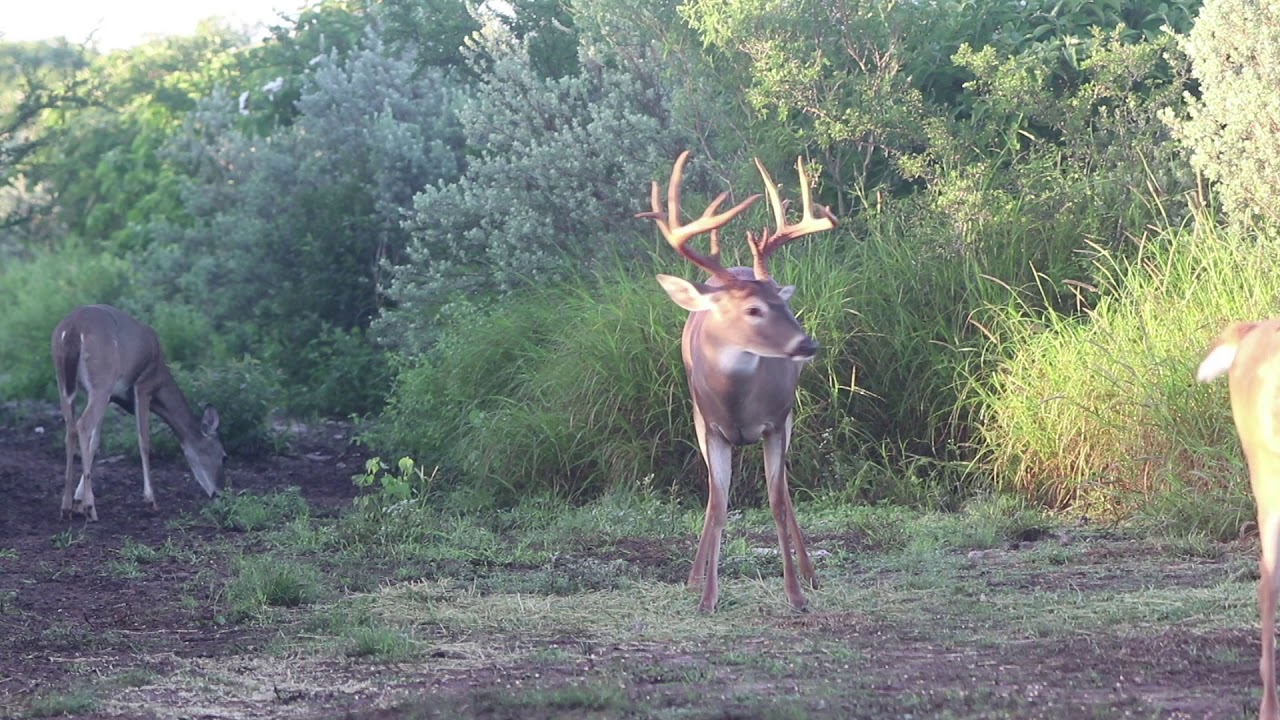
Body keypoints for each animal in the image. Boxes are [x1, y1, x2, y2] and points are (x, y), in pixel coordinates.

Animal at [51, 304, 225, 521]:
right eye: (223, 456)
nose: (219, 493)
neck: (161, 380)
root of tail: (73, 329)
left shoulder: (112, 397)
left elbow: (95, 443)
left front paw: (77, 500)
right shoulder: (143, 386)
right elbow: (144, 441)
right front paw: (150, 500)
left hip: (64, 383)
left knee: (70, 428)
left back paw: (66, 506)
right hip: (102, 381)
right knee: (82, 425)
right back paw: (91, 508)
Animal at [639, 151, 836, 613]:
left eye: (783, 305)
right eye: (752, 310)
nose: (808, 344)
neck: (737, 403)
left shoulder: (777, 421)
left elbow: (777, 501)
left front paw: (796, 594)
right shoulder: (711, 427)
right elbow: (717, 504)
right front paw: (707, 596)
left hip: (789, 416)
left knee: (784, 490)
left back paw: (810, 573)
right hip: (697, 419)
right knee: (716, 496)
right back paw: (693, 576)